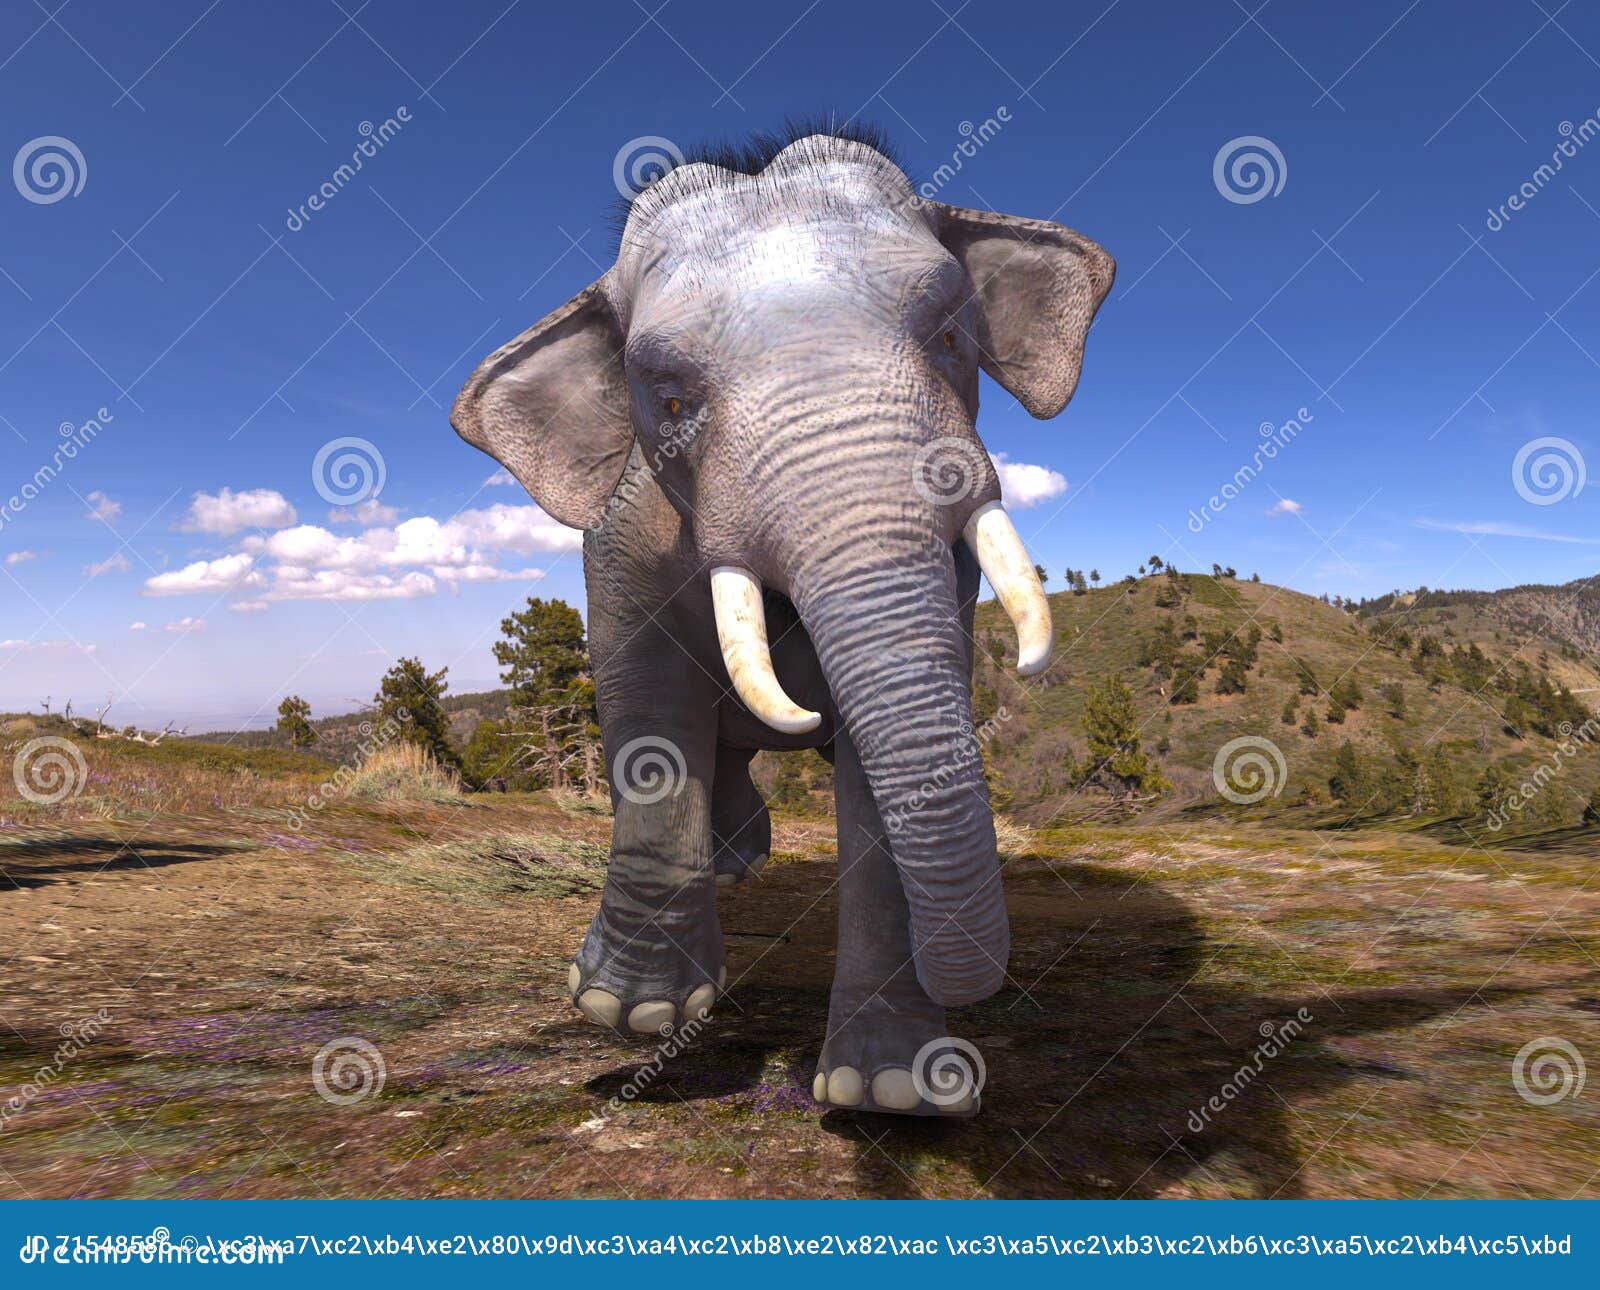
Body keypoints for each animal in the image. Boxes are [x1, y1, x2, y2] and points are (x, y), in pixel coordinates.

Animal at [452, 125, 1113, 1116]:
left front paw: (894, 1092)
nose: (977, 995)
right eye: (670, 398)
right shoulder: (622, 539)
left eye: (950, 334)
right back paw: (731, 869)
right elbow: (645, 707)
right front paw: (631, 1014)